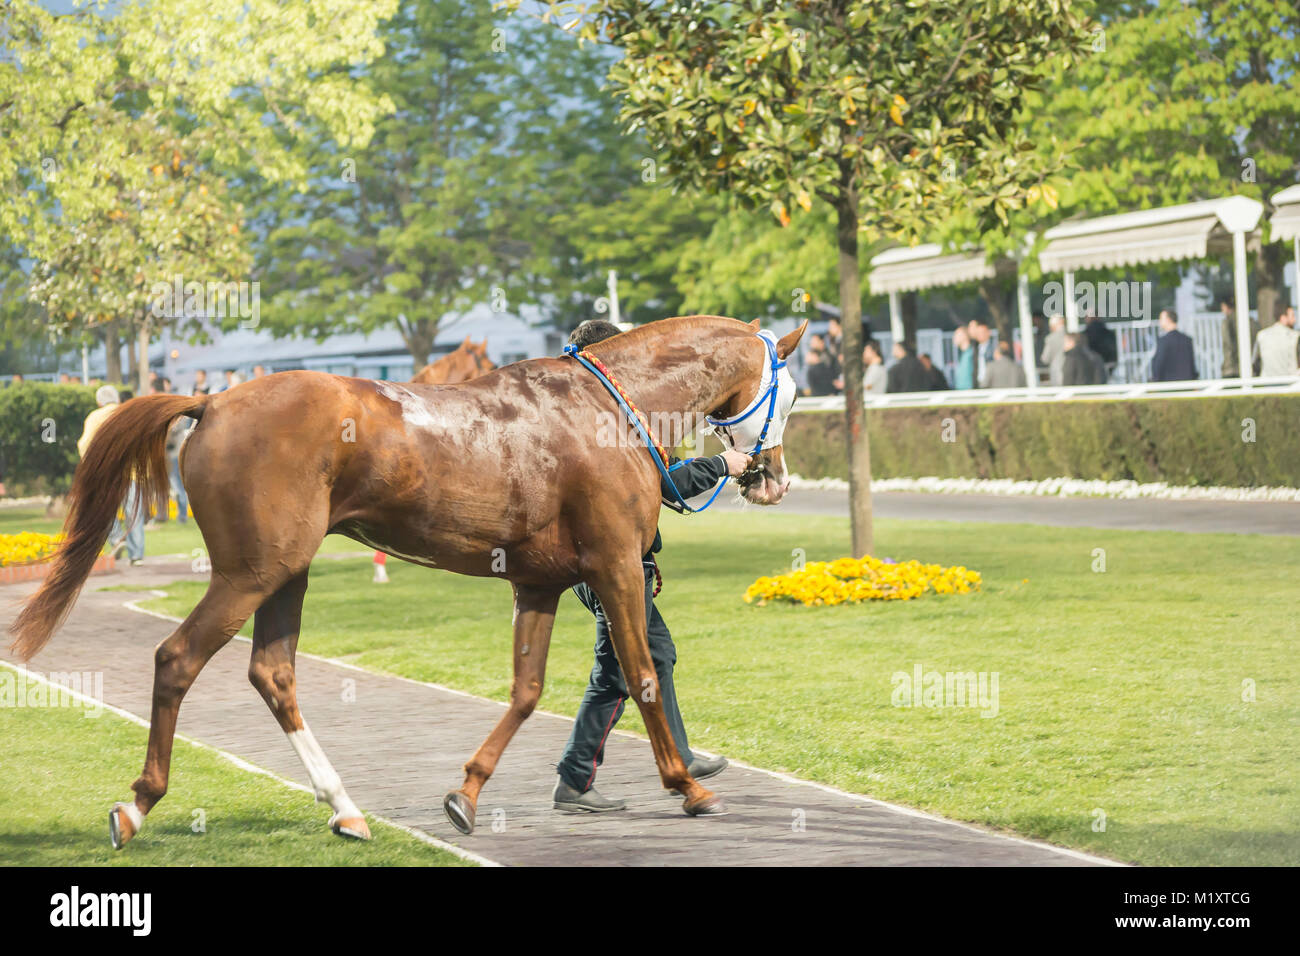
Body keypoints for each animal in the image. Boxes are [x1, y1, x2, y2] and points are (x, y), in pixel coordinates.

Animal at [8, 314, 806, 847]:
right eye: (792, 393)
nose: (771, 478)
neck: (605, 408)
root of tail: (212, 401)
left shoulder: (539, 585)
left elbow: (527, 690)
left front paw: (467, 792)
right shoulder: (615, 567)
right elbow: (639, 672)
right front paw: (688, 785)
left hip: (285, 572)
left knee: (273, 673)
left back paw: (344, 807)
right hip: (250, 572)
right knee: (177, 660)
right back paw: (138, 803)